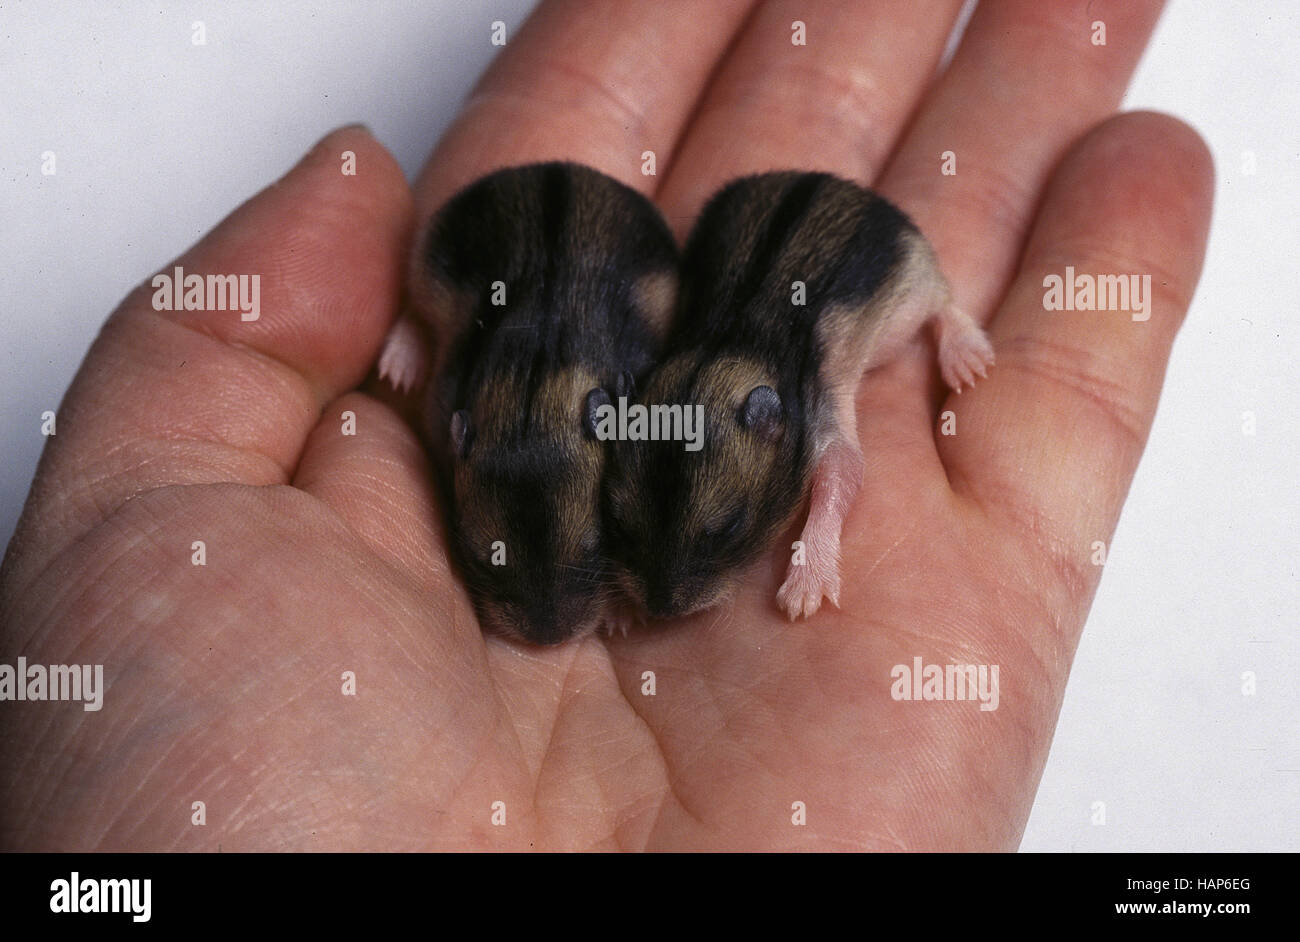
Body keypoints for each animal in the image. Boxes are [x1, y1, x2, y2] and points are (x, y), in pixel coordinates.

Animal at [378, 162, 678, 644]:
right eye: (484, 558)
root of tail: (552, 165)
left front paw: (621, 618)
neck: (531, 400)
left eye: (596, 548)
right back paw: (397, 367)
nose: (547, 641)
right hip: (430, 263)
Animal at [603, 171, 994, 621]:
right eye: (619, 523)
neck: (726, 347)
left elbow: (842, 468)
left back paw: (968, 360)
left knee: (944, 305)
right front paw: (617, 615)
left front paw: (802, 595)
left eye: (730, 525)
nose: (661, 611)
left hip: (913, 289)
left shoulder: (820, 406)